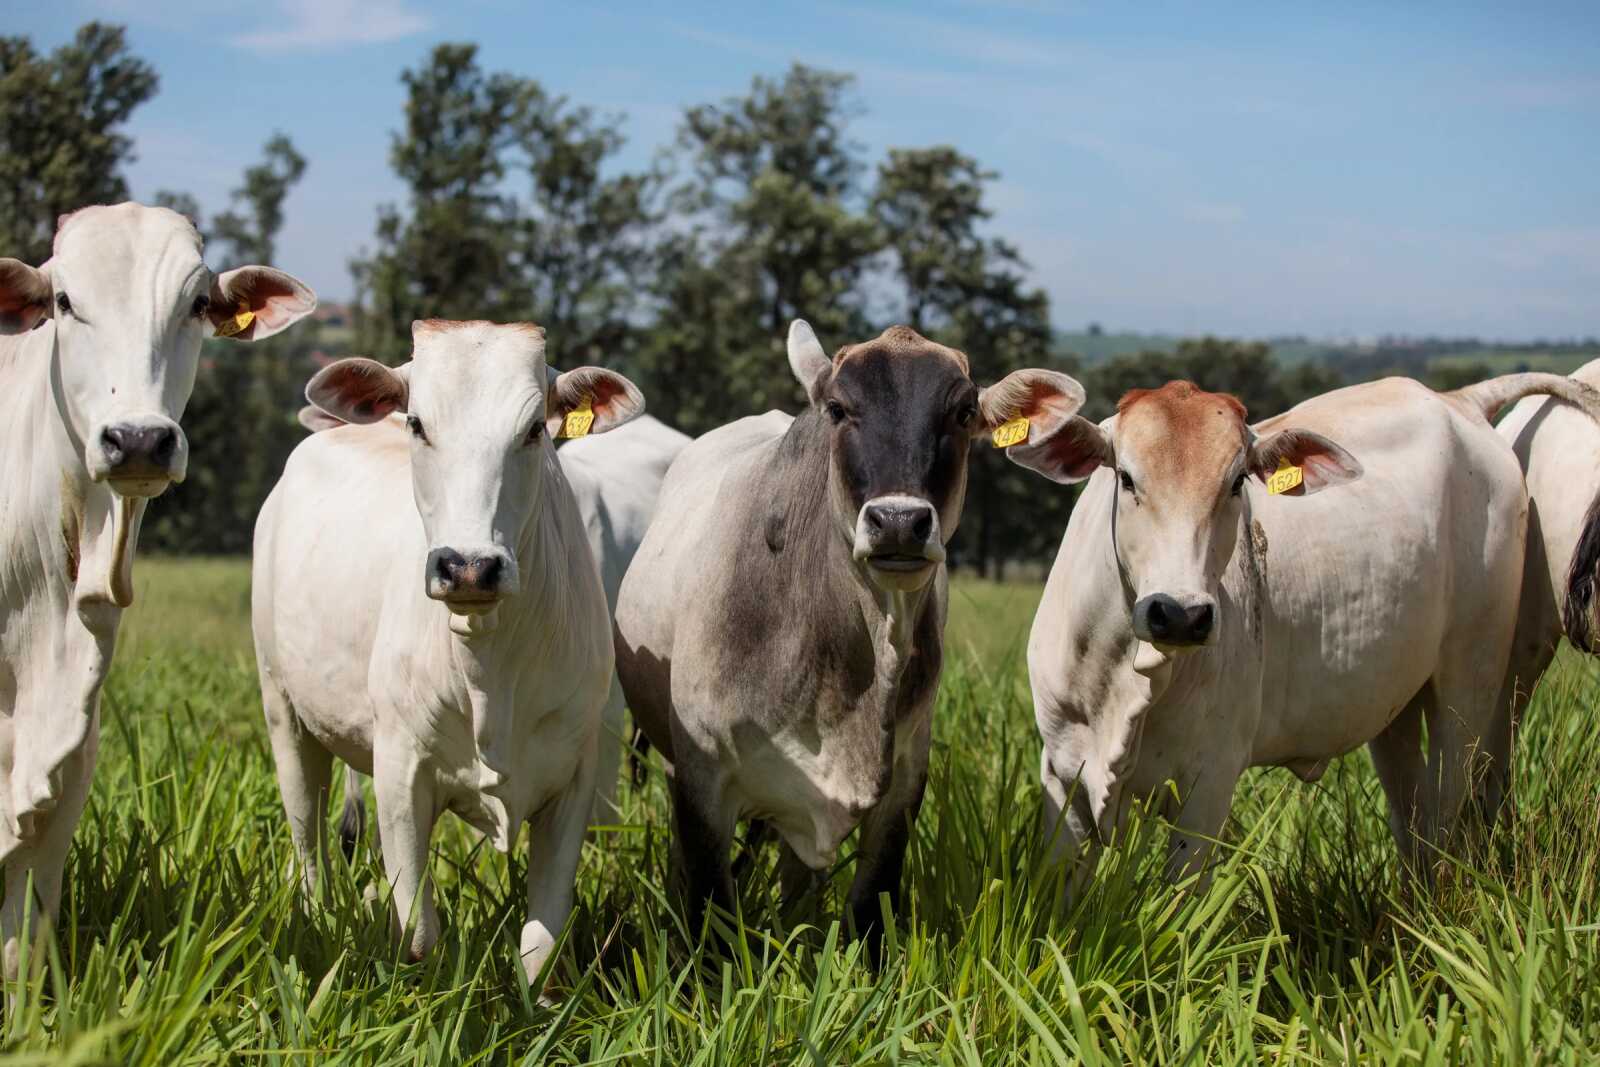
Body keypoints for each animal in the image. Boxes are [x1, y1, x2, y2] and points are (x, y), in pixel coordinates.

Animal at [251, 319, 644, 988]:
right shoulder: (401, 775)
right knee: (307, 839)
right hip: (284, 711)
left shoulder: (574, 780)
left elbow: (542, 944)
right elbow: (418, 932)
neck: (490, 670)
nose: (468, 567)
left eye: (534, 428)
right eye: (418, 422)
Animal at [613, 320, 1087, 958]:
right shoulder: (701, 779)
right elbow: (713, 925)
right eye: (837, 409)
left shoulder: (904, 783)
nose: (898, 522)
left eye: (963, 412)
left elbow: (870, 909)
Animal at [1024, 373, 1600, 886]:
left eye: (1237, 482)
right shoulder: (1061, 773)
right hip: (1396, 708)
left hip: (1475, 689)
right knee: (1413, 822)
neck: (1123, 680)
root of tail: (1459, 399)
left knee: (1451, 815)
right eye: (1125, 477)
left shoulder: (1207, 785)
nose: (1181, 613)